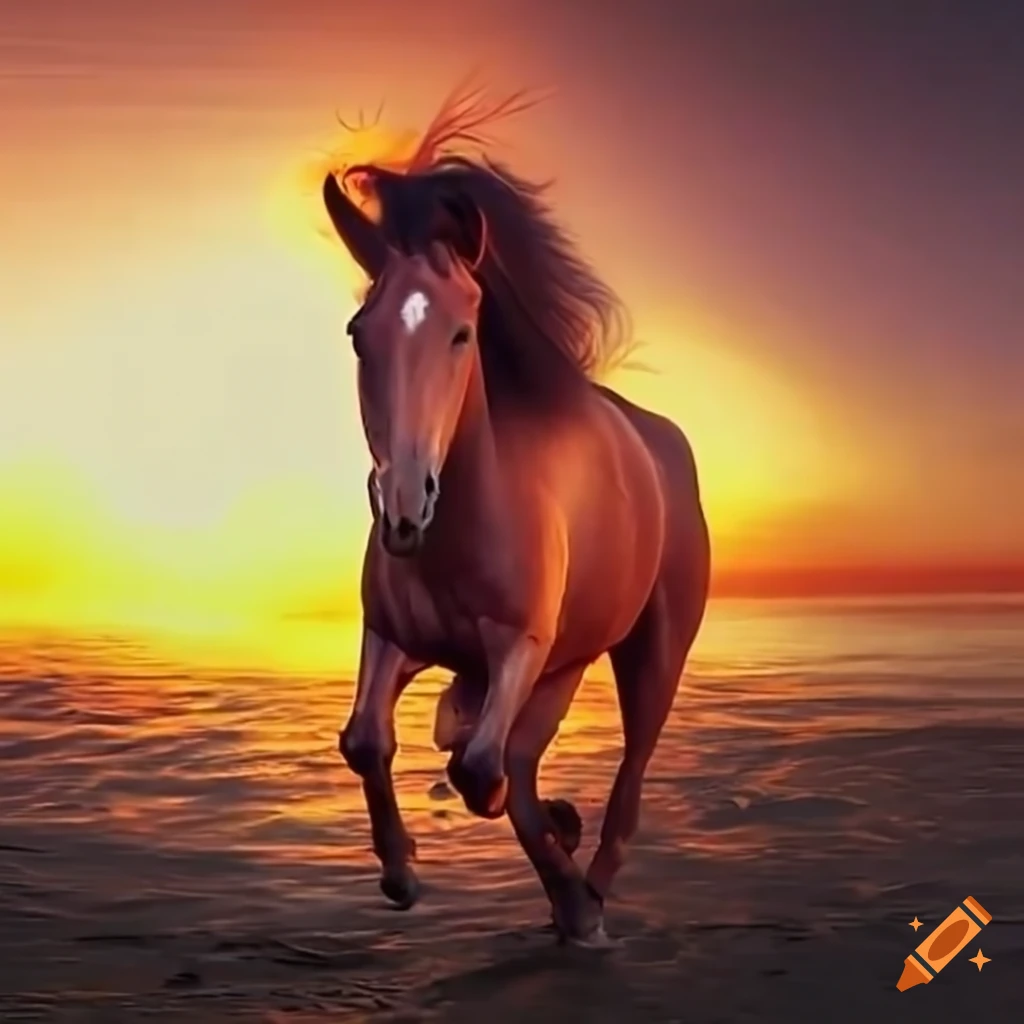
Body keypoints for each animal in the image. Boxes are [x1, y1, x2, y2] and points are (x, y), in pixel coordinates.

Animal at [321, 119, 710, 944]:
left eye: (462, 333)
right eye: (358, 333)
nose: (404, 506)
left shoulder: (520, 648)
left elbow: (478, 769)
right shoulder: (393, 635)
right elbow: (368, 739)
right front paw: (401, 874)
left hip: (649, 653)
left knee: (624, 782)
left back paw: (584, 899)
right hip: (567, 664)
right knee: (525, 757)